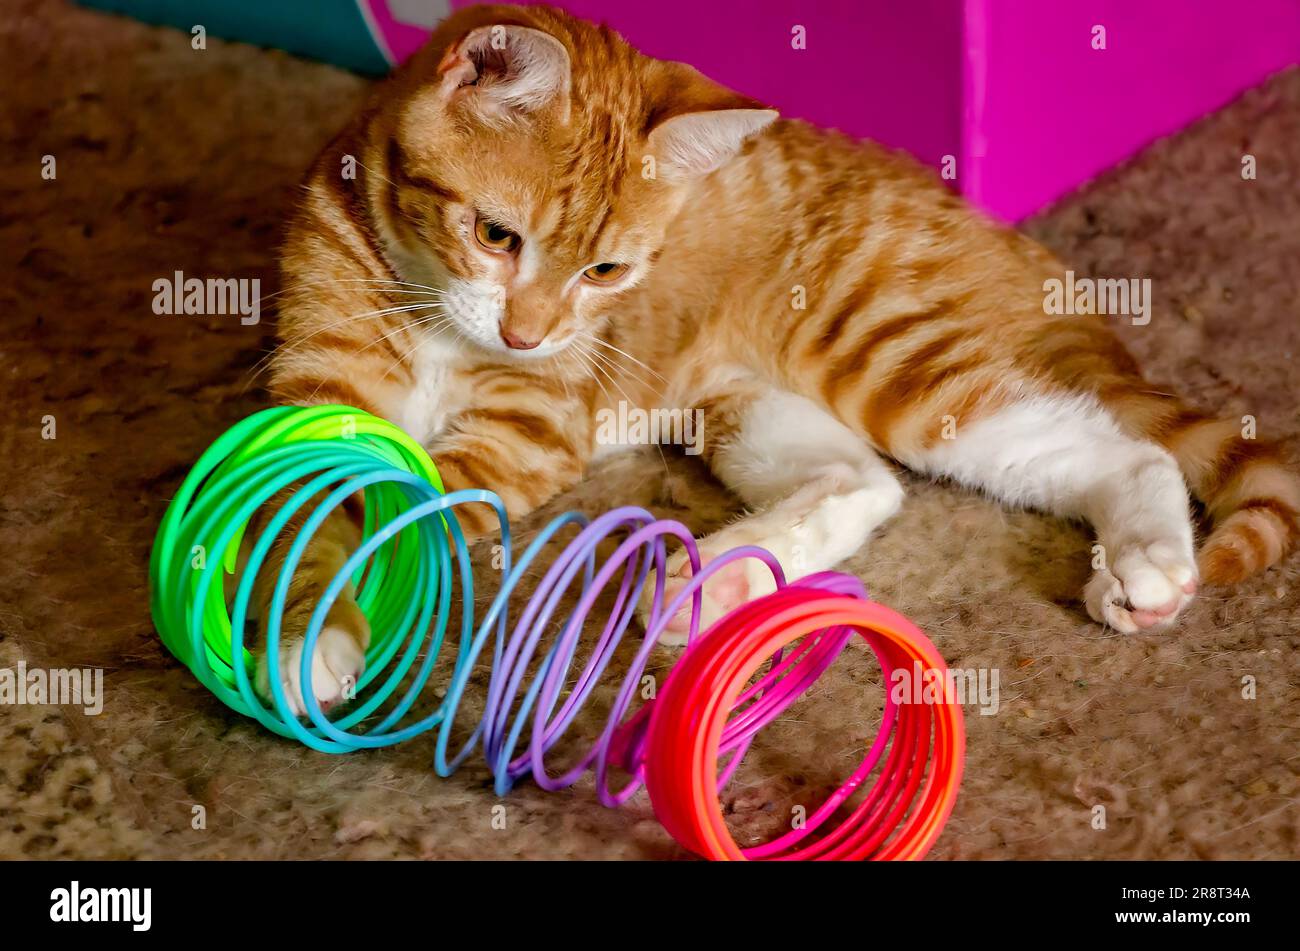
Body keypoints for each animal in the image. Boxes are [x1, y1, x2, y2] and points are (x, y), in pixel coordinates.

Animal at [253, 1, 1289, 711]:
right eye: (496, 235)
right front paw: (311, 624)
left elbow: (406, 495)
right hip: (743, 399)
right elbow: (316, 497)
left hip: (891, 358)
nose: (526, 336)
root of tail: (1003, 237)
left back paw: (1148, 558)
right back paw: (715, 581)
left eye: (604, 270)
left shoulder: (528, 423)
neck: (436, 312)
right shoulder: (316, 391)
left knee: (1125, 449)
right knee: (864, 480)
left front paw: (323, 627)